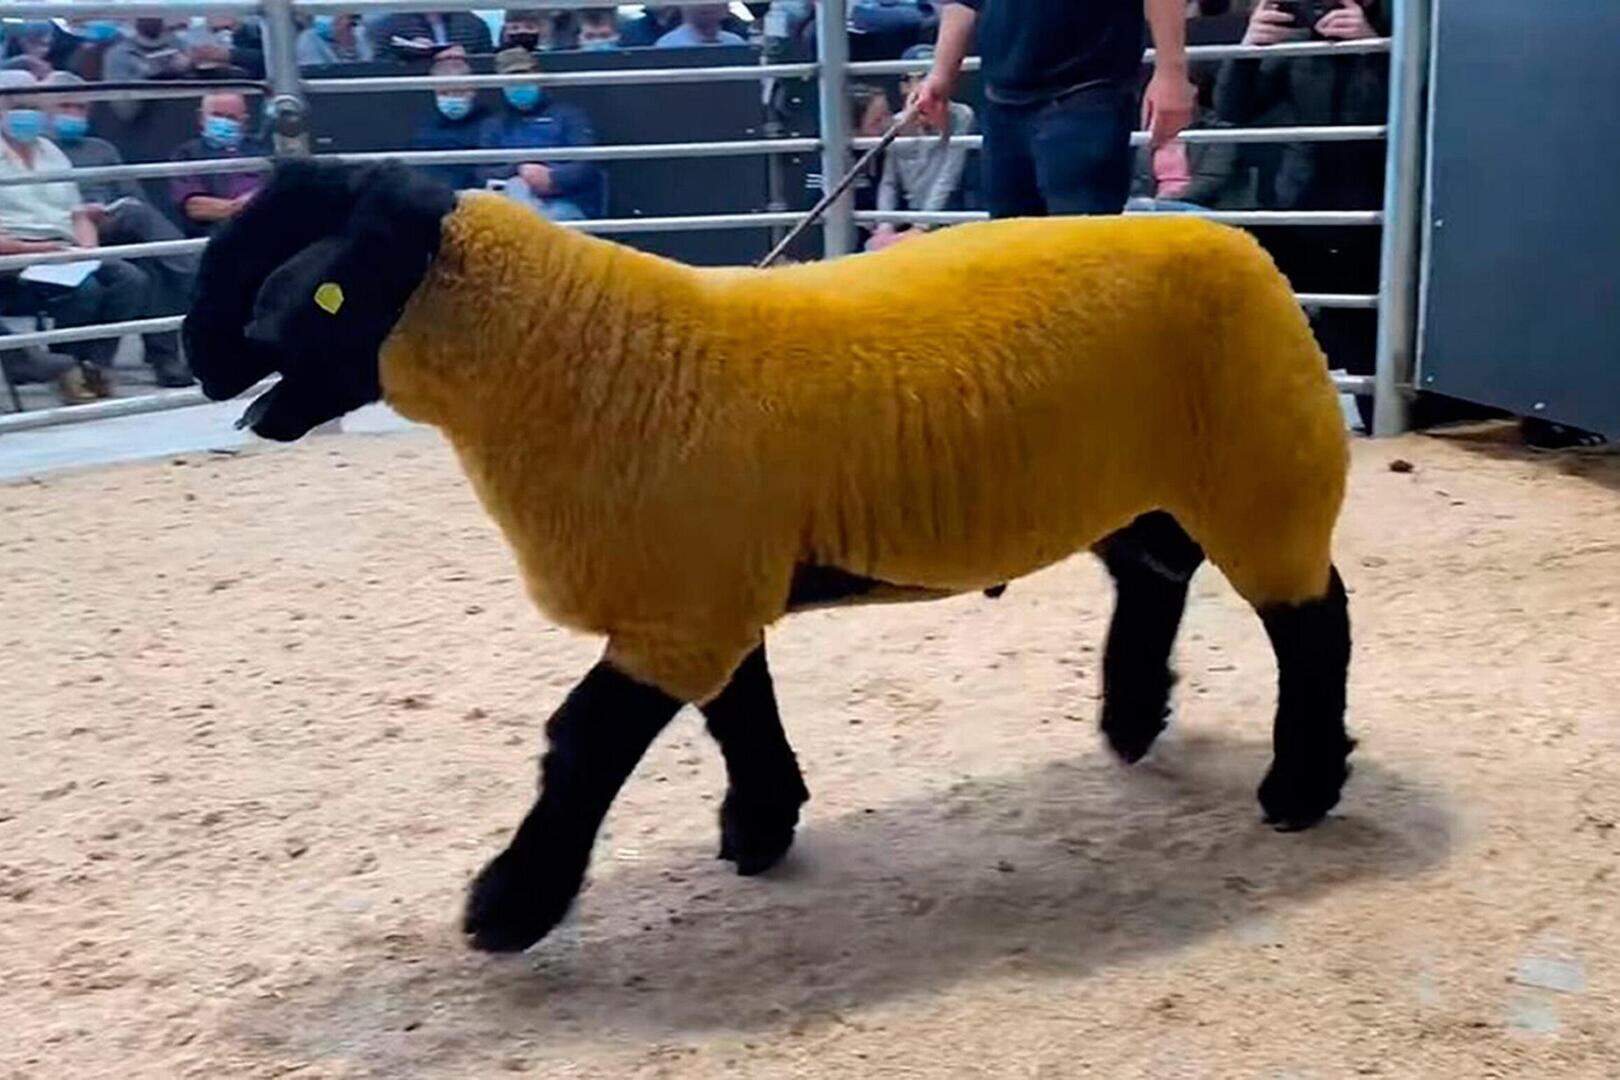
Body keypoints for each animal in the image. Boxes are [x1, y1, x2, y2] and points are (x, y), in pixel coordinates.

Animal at [185, 160, 1353, 954]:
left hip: (1263, 465)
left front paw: (509, 907)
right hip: (1140, 483)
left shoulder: (678, 605)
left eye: (319, 289)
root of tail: (1239, 242)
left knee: (1313, 622)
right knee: (1156, 576)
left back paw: (1298, 786)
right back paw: (1132, 718)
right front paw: (761, 827)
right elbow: (739, 711)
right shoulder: (701, 593)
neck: (572, 354)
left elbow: (582, 746)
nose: (216, 377)